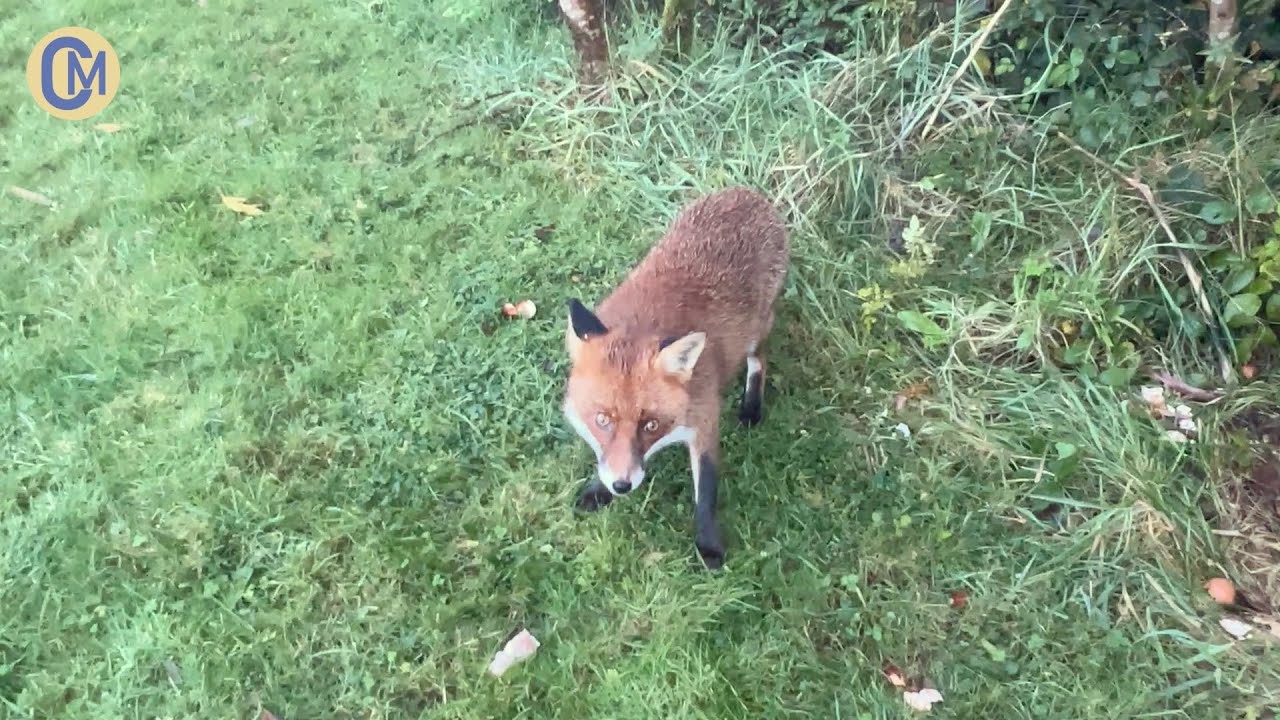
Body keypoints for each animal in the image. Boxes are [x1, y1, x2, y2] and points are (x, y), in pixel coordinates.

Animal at [561, 186, 790, 571]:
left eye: (650, 424)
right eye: (602, 420)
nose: (622, 487)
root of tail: (746, 192)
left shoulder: (704, 422)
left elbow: (706, 493)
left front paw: (708, 545)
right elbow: (604, 458)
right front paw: (598, 490)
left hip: (757, 330)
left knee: (759, 360)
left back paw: (751, 406)